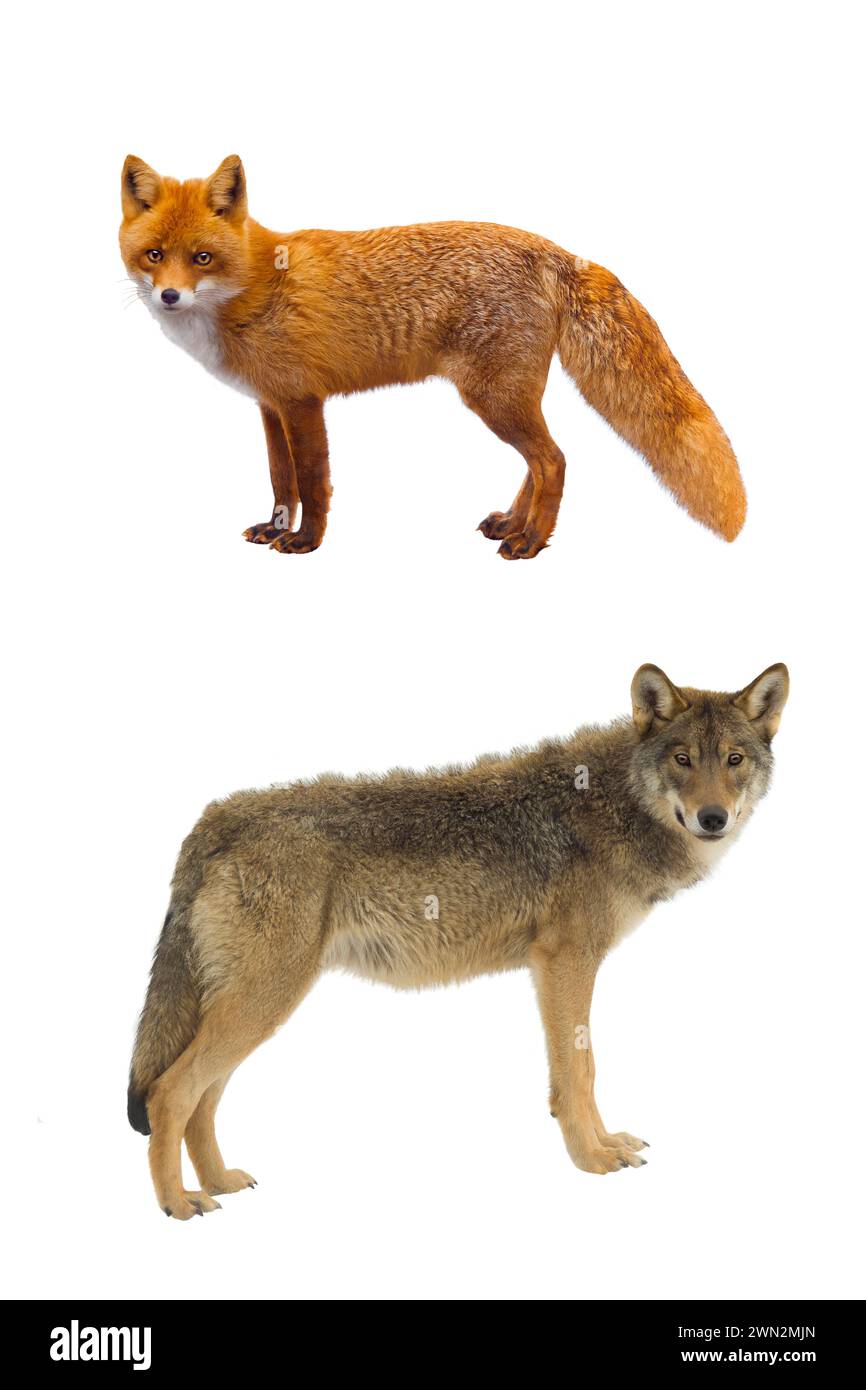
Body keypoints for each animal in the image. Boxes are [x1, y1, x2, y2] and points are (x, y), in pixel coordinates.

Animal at [119, 154, 746, 559]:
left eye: (202, 258)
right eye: (154, 255)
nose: (169, 296)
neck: (252, 285)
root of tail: (556, 250)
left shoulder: (302, 401)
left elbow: (314, 482)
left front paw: (306, 542)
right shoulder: (270, 405)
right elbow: (282, 482)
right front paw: (275, 530)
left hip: (493, 399)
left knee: (554, 461)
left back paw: (531, 541)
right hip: (507, 400)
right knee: (540, 461)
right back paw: (513, 524)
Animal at [128, 661, 787, 1218]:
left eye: (733, 760)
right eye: (682, 759)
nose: (712, 819)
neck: (613, 802)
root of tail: (212, 821)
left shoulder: (554, 969)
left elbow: (574, 1071)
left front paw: (603, 1144)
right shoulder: (565, 961)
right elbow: (580, 1071)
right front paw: (592, 1161)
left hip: (253, 1010)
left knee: (201, 1102)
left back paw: (219, 1183)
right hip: (263, 1003)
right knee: (168, 1095)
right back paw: (179, 1204)